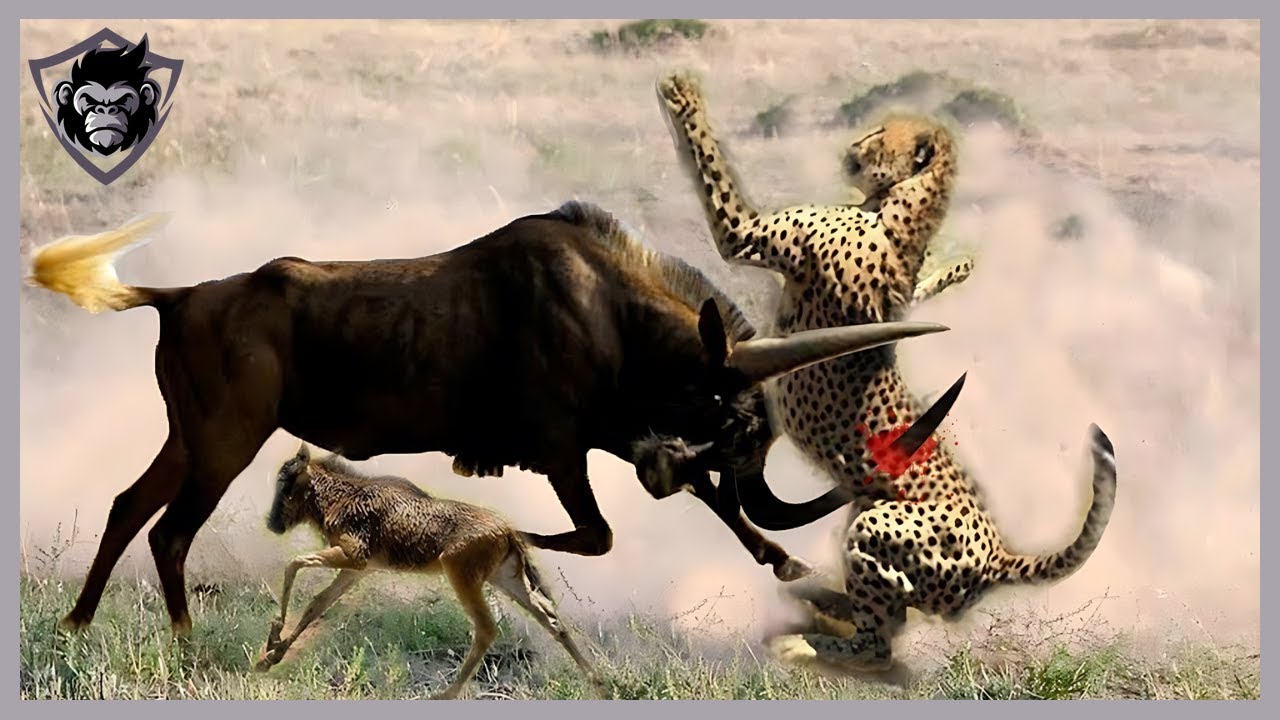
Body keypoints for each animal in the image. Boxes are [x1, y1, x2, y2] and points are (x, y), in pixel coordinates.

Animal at [655, 71, 1119, 676]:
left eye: (878, 133)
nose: (850, 147)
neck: (897, 208)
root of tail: (1000, 555)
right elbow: (916, 293)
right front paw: (958, 266)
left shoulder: (744, 231)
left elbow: (709, 163)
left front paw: (682, 93)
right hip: (866, 513)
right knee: (885, 619)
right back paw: (816, 594)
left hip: (875, 523)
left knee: (878, 646)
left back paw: (803, 639)